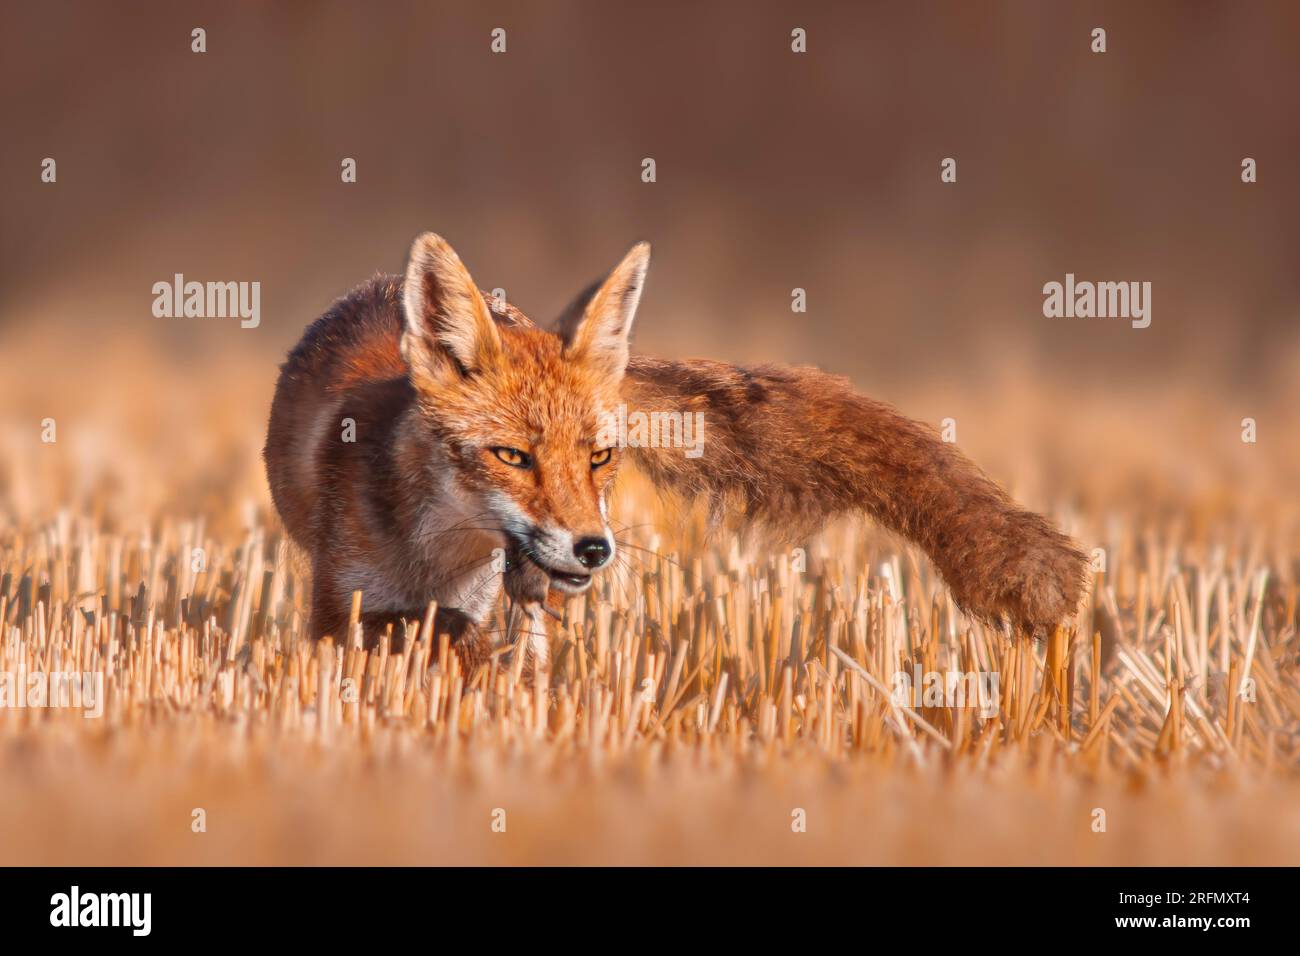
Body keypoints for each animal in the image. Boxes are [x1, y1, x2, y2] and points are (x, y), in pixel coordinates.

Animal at [264, 232, 1088, 674]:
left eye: (599, 458)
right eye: (512, 457)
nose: (593, 548)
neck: (428, 549)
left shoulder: (466, 598)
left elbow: (462, 640)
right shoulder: (341, 607)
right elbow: (410, 640)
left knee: (529, 626)